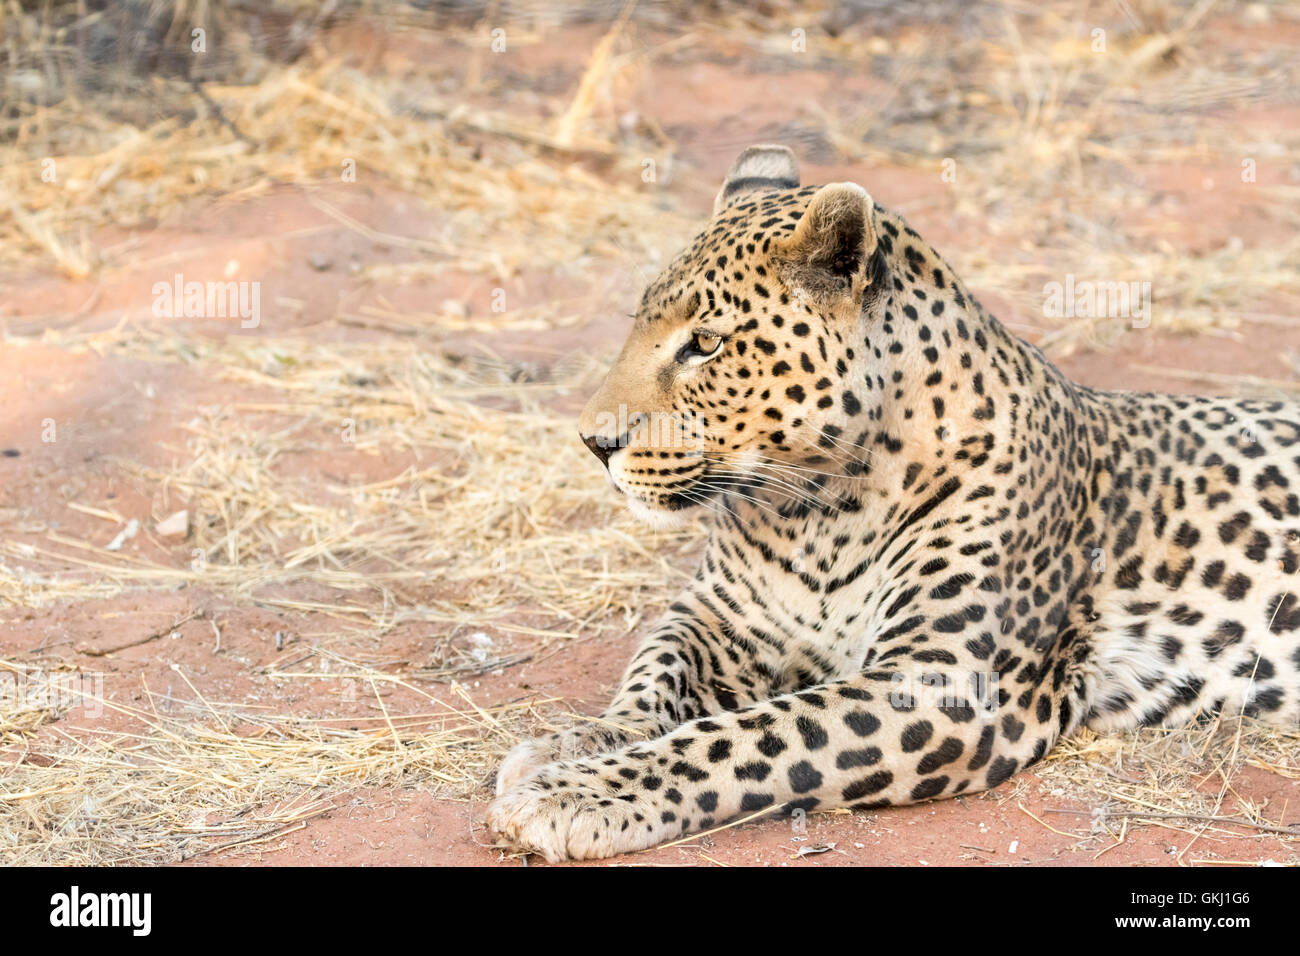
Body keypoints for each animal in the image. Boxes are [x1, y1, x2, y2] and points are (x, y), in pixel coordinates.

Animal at [485, 144, 1300, 862]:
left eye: (706, 344)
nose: (594, 442)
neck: (813, 511)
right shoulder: (719, 619)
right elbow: (652, 678)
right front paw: (569, 745)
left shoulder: (940, 680)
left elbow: (745, 737)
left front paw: (577, 794)